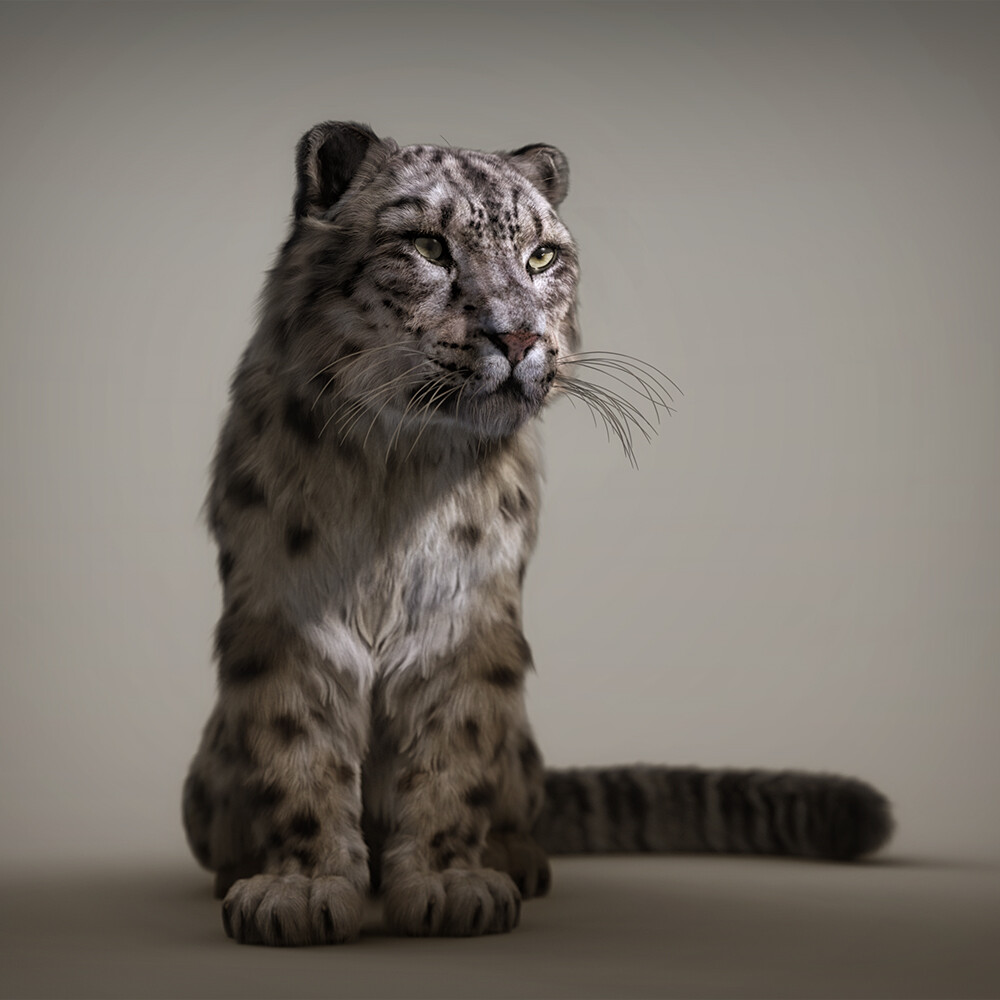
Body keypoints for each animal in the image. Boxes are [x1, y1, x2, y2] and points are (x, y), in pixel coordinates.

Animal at [183, 121, 893, 946]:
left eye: (543, 256)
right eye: (427, 245)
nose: (518, 336)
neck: (399, 477)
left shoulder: (467, 617)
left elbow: (454, 751)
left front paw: (450, 882)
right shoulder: (288, 612)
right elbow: (297, 749)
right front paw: (299, 889)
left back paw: (517, 858)